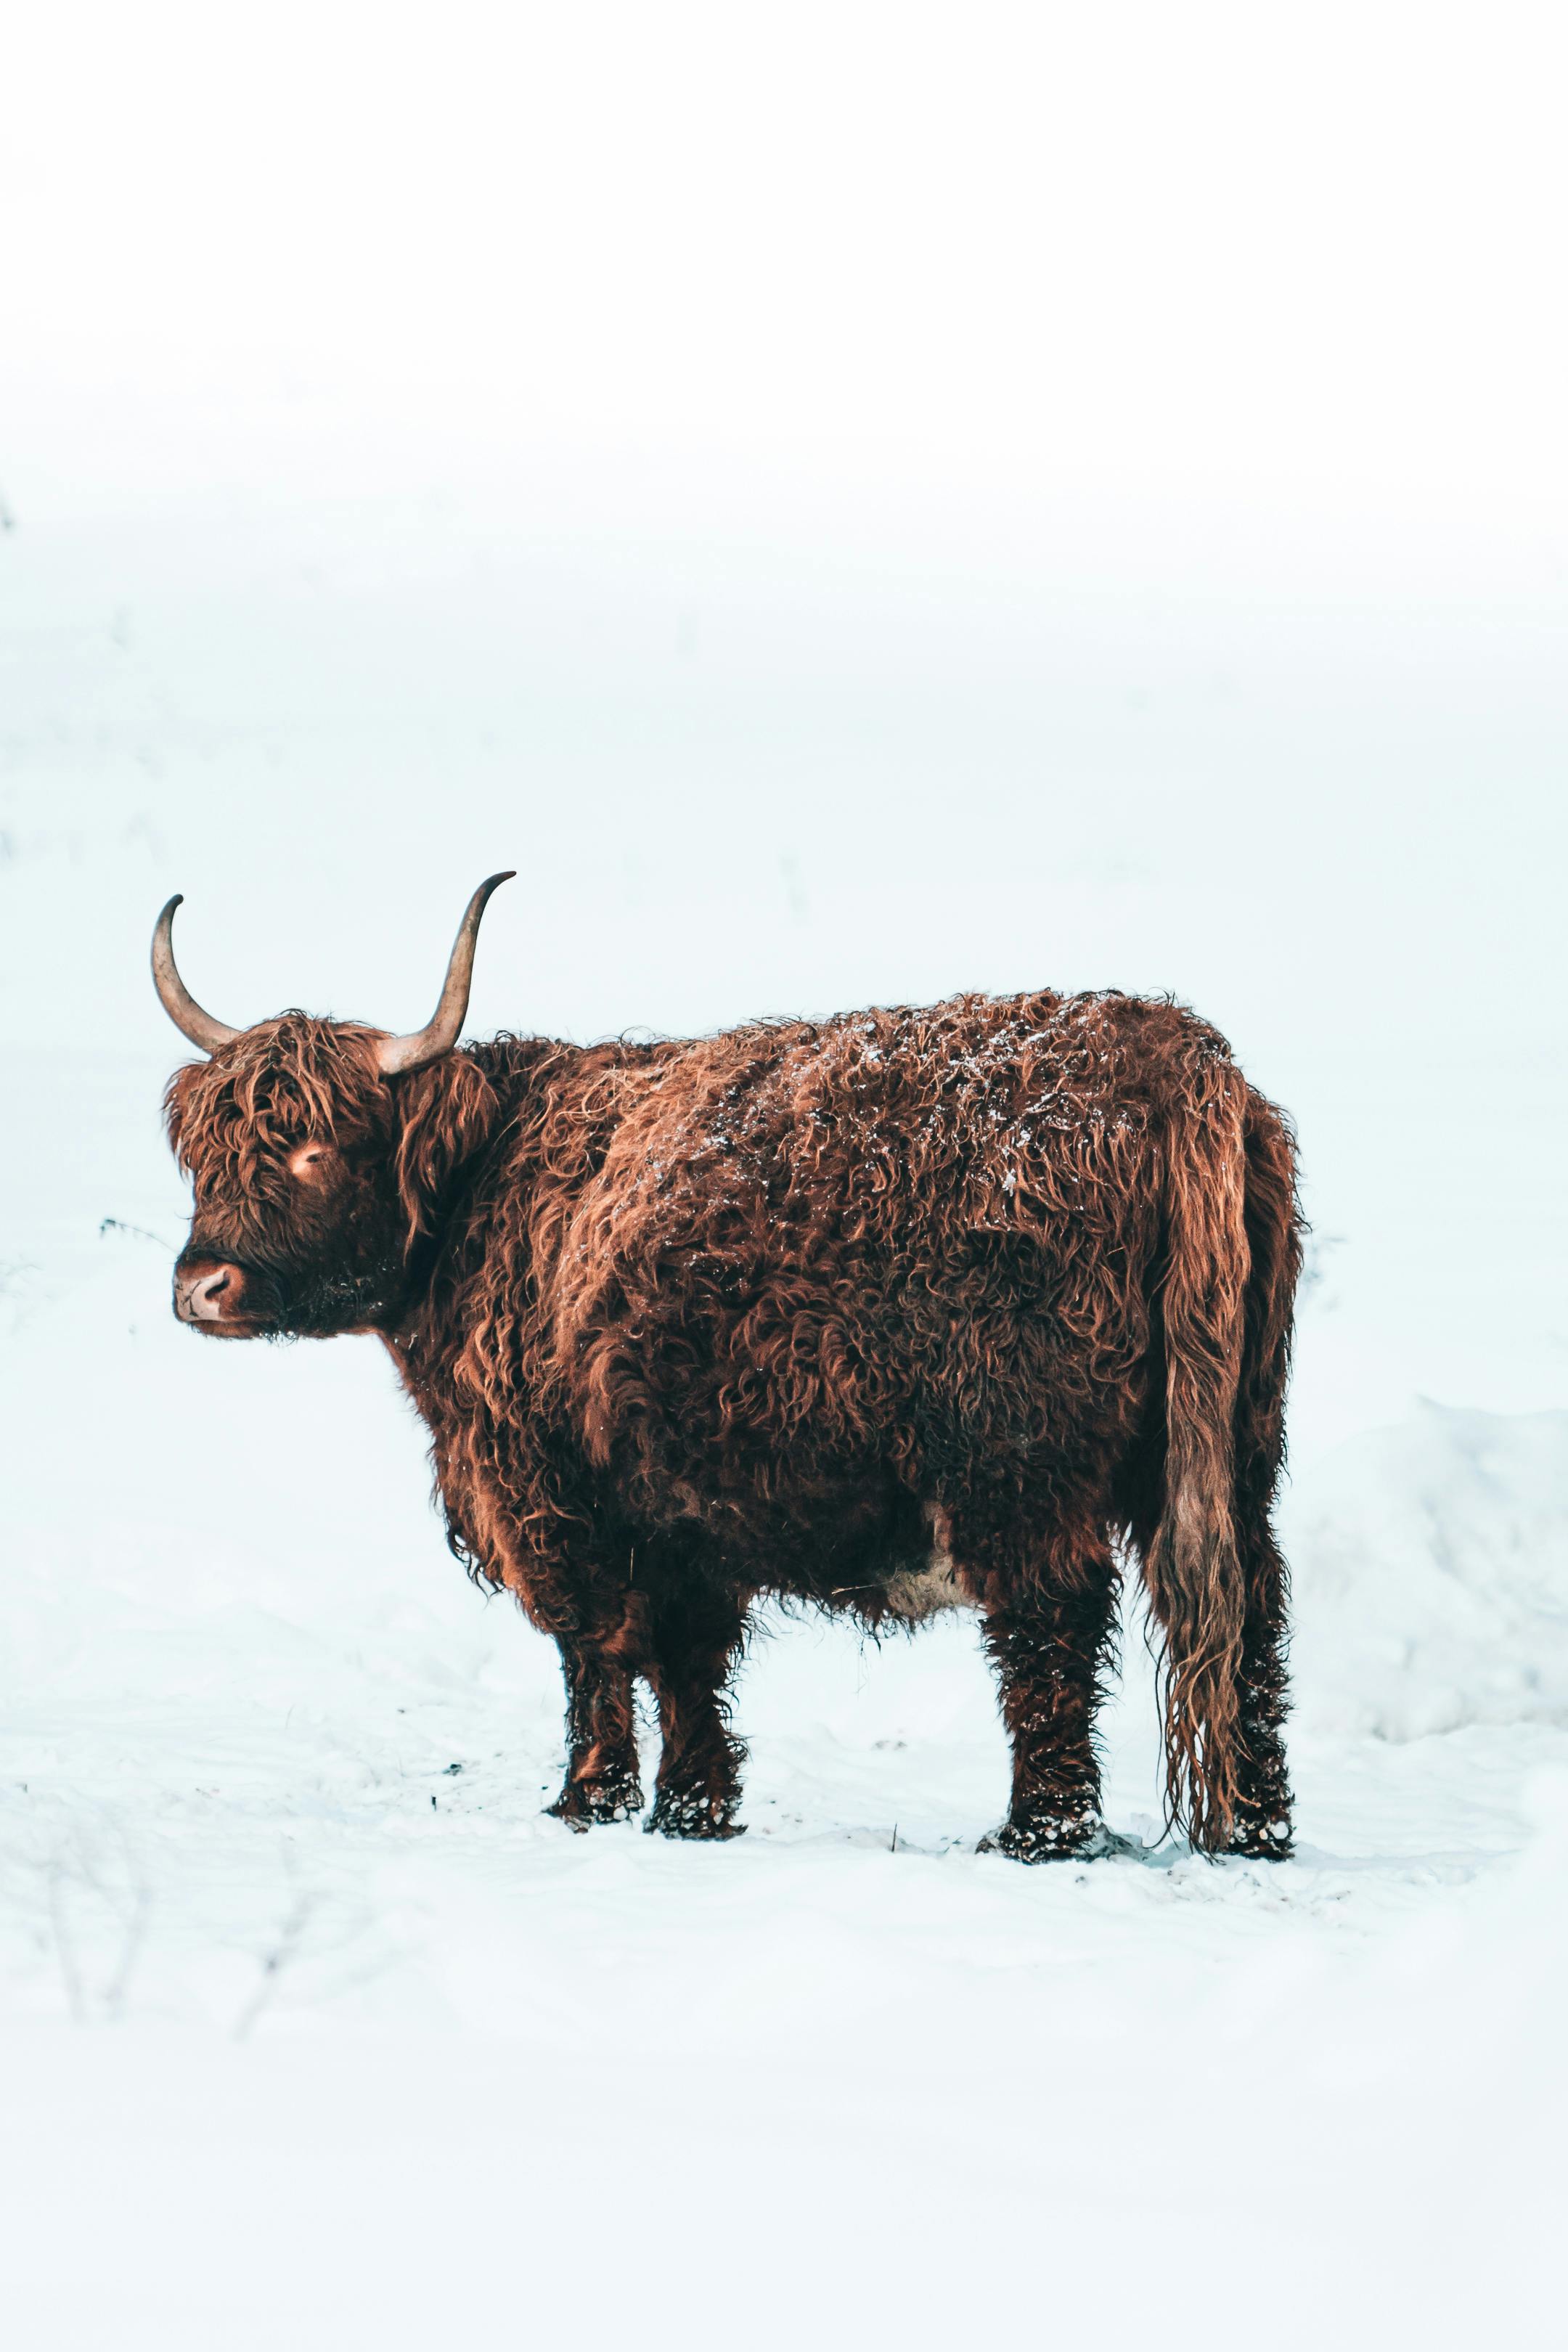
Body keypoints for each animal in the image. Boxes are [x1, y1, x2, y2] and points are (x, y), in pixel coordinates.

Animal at [153, 876, 1301, 1859]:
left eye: (317, 1147)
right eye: (207, 1154)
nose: (202, 1285)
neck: (480, 1198)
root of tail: (1171, 1057)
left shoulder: (552, 1491)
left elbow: (597, 1648)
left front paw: (589, 1801)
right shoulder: (677, 1505)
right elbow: (687, 1658)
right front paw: (691, 1810)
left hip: (1016, 1464)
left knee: (1050, 1621)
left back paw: (1039, 1833)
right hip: (1234, 1445)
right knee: (1250, 1612)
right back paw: (1257, 1825)